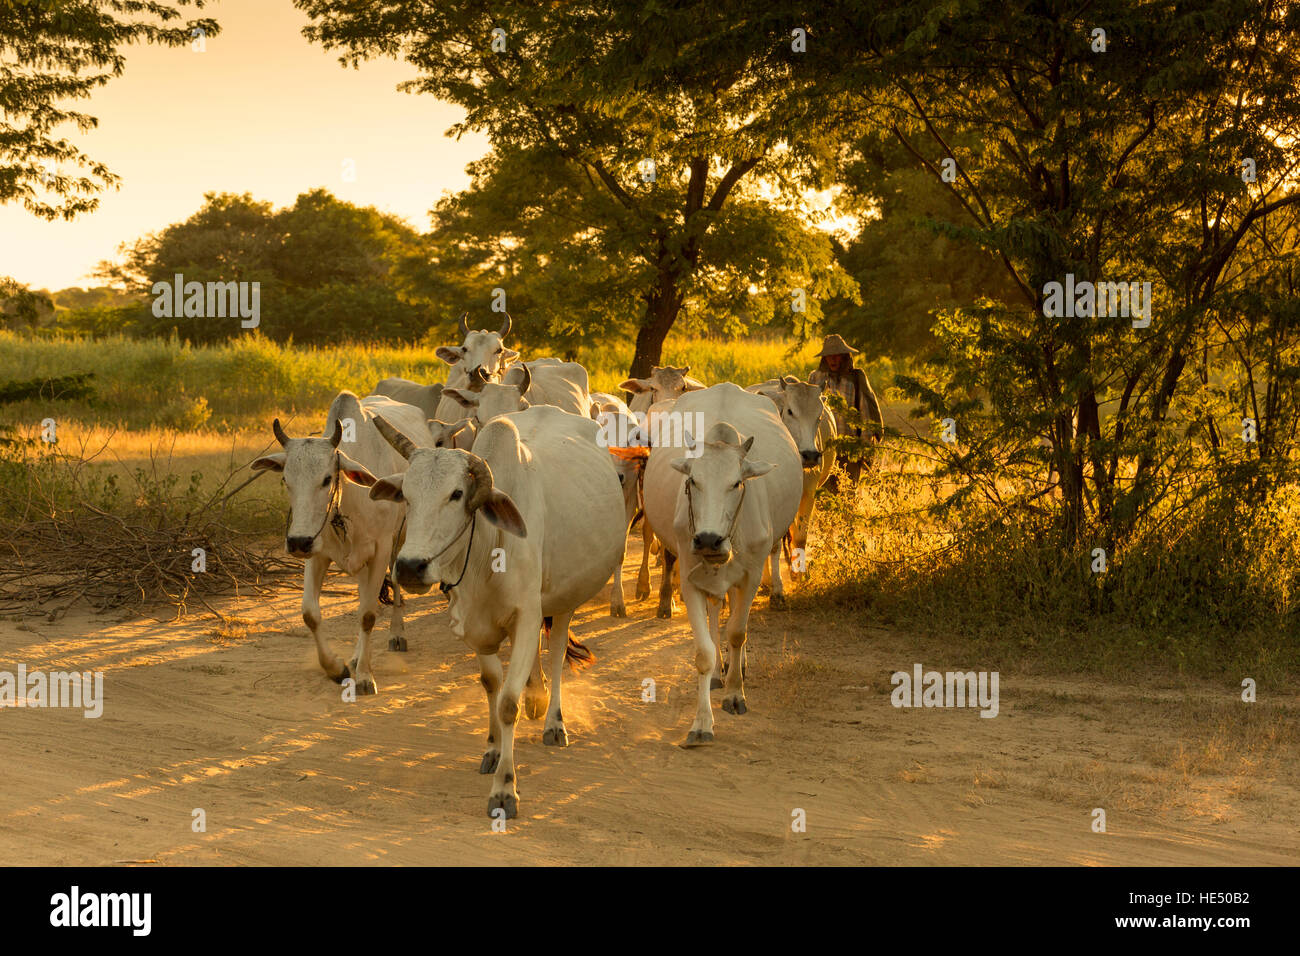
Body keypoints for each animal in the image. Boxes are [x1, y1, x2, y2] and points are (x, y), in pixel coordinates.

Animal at [251, 392, 436, 696]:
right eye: (285, 479)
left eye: (327, 479)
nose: (297, 541)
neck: (347, 501)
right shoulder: (317, 553)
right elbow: (310, 614)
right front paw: (337, 668)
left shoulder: (382, 549)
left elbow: (368, 615)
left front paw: (364, 677)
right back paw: (357, 656)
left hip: (400, 540)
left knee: (393, 590)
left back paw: (397, 634)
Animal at [368, 404, 626, 818]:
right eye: (406, 494)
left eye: (457, 494)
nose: (408, 567)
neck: (488, 550)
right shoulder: (479, 626)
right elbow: (491, 685)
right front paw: (492, 747)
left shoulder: (526, 615)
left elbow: (507, 704)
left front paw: (505, 789)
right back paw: (536, 696)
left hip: (564, 601)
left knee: (556, 653)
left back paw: (553, 721)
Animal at [632, 383, 801, 742]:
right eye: (692, 481)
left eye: (736, 483)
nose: (709, 540)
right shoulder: (690, 578)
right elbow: (704, 651)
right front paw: (701, 722)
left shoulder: (751, 575)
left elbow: (737, 632)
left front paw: (736, 694)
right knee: (716, 610)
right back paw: (716, 675)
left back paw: (739, 667)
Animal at [747, 376, 837, 590]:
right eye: (790, 411)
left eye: (819, 415)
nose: (810, 455)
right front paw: (772, 582)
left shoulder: (809, 493)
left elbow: (800, 536)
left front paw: (800, 574)